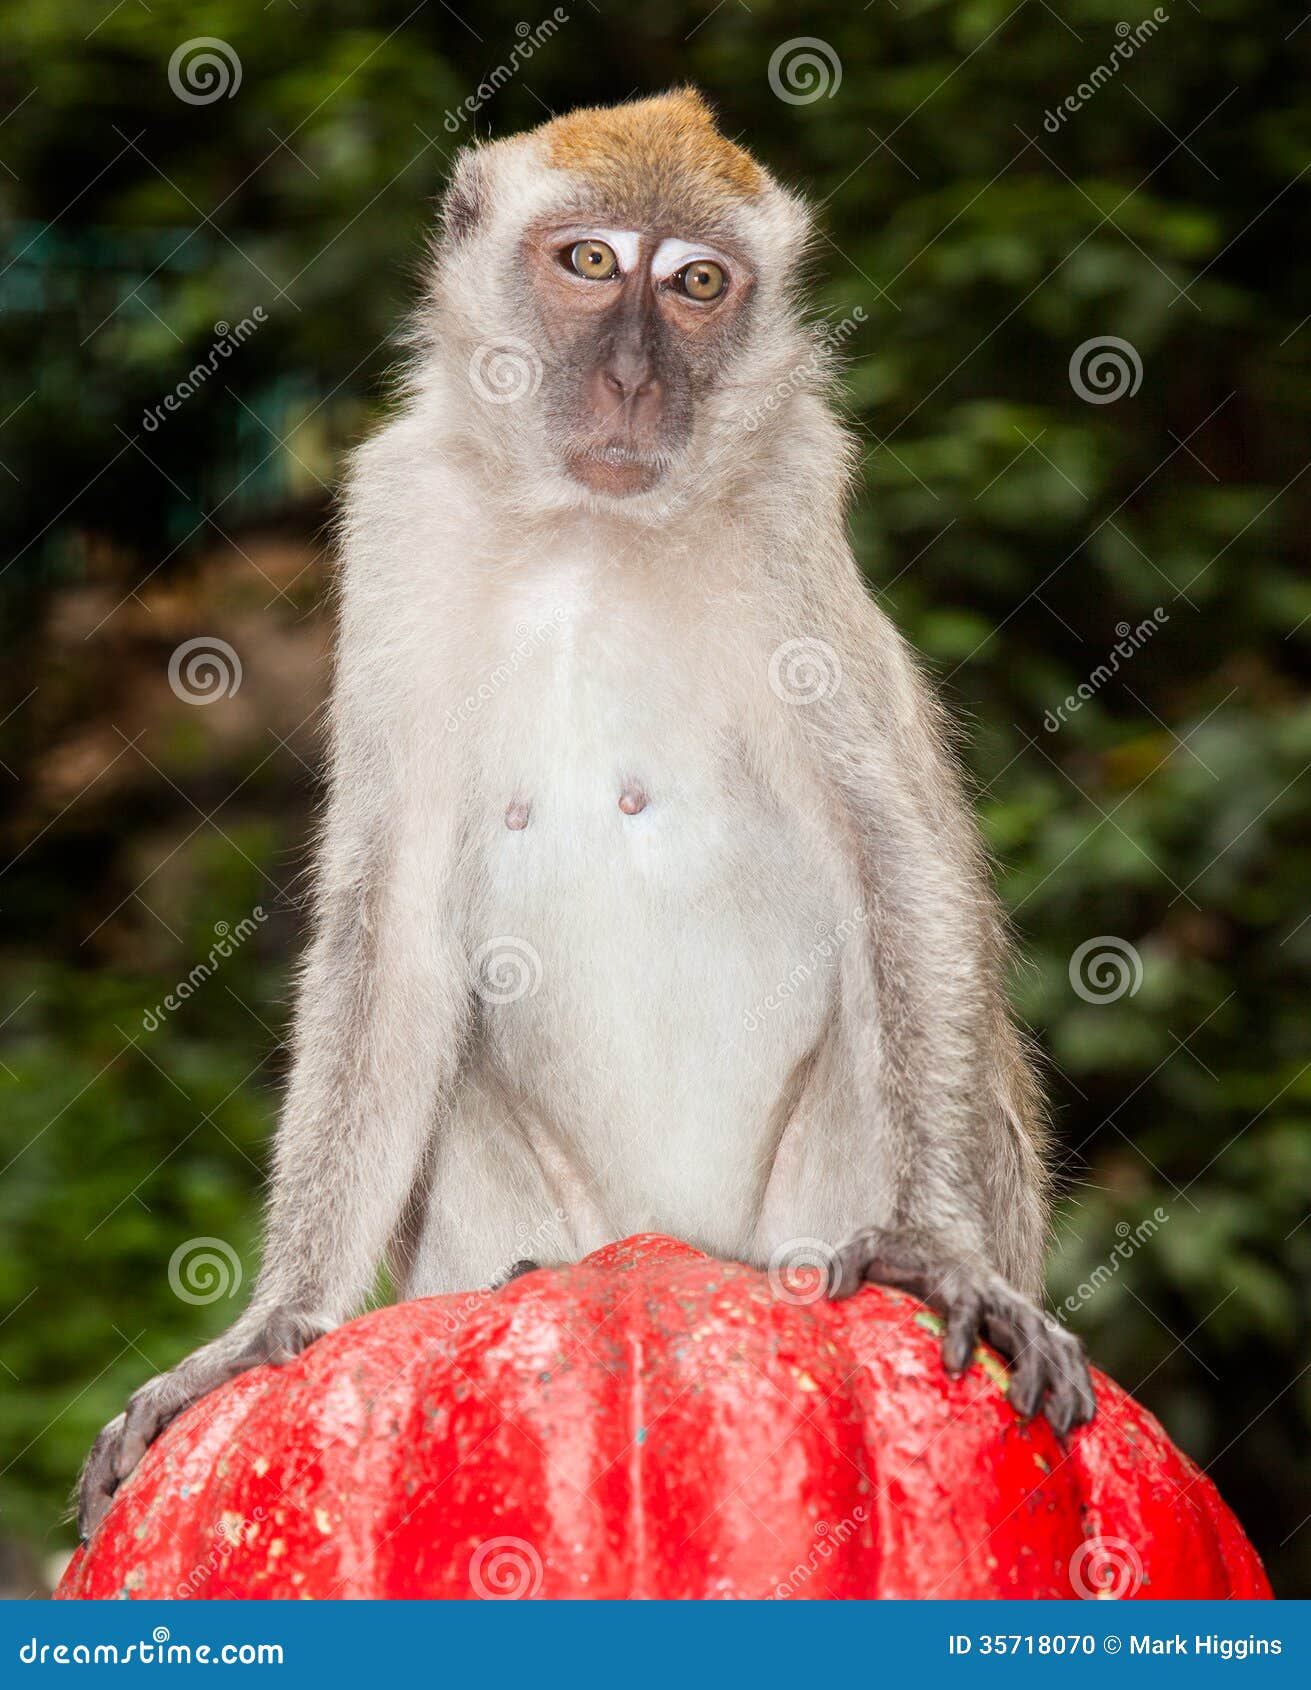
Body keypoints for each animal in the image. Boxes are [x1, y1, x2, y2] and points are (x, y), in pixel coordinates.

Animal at [78, 89, 1094, 1540]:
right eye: (592, 263)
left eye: (698, 285)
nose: (632, 379)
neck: (581, 527)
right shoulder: (398, 518)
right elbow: (392, 929)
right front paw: (271, 1326)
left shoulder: (791, 518)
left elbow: (893, 857)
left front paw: (937, 1249)